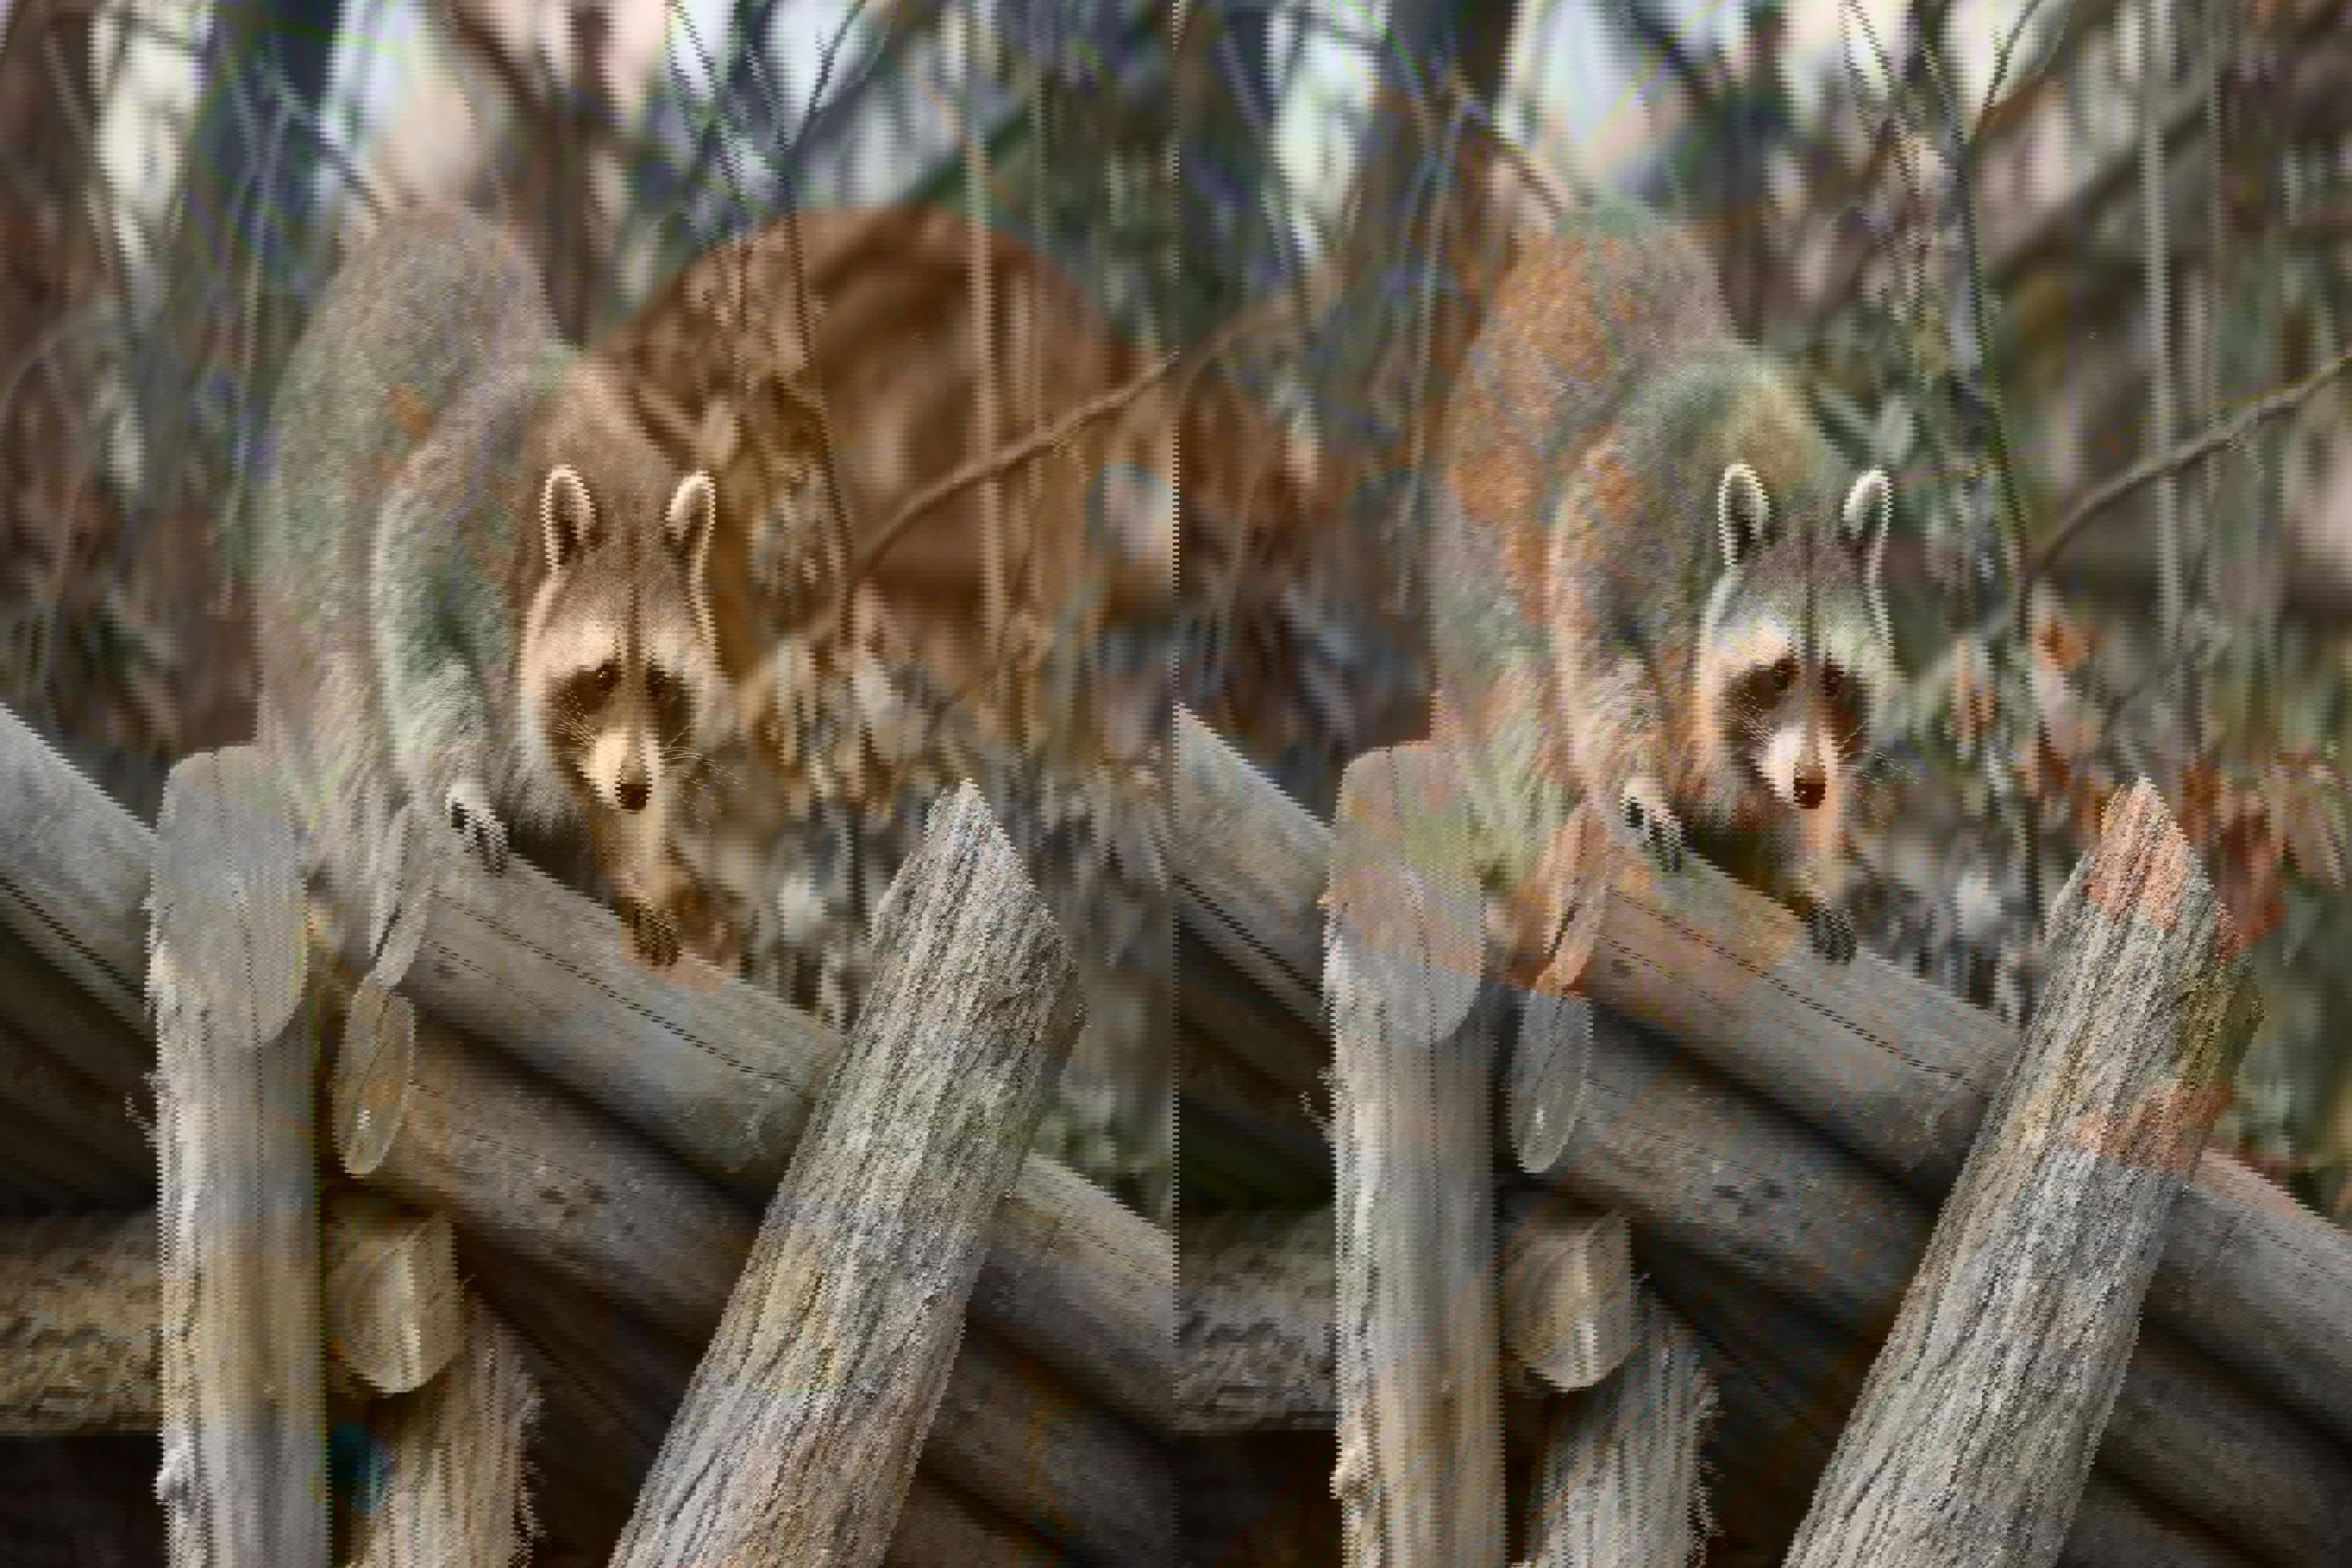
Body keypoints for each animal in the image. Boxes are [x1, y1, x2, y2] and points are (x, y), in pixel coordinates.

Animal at [252, 205, 729, 970]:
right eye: (603, 675)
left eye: (659, 681)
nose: (632, 789)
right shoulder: (436, 542)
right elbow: (424, 674)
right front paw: (464, 784)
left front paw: (622, 866)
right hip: (302, 584)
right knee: (350, 716)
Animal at [1432, 196, 1896, 964]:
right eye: (1778, 674)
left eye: (1833, 679)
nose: (1807, 786)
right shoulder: (1617, 545)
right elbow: (1602, 682)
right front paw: (1640, 783)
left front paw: (1798, 869)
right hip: (1480, 573)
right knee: (1524, 717)